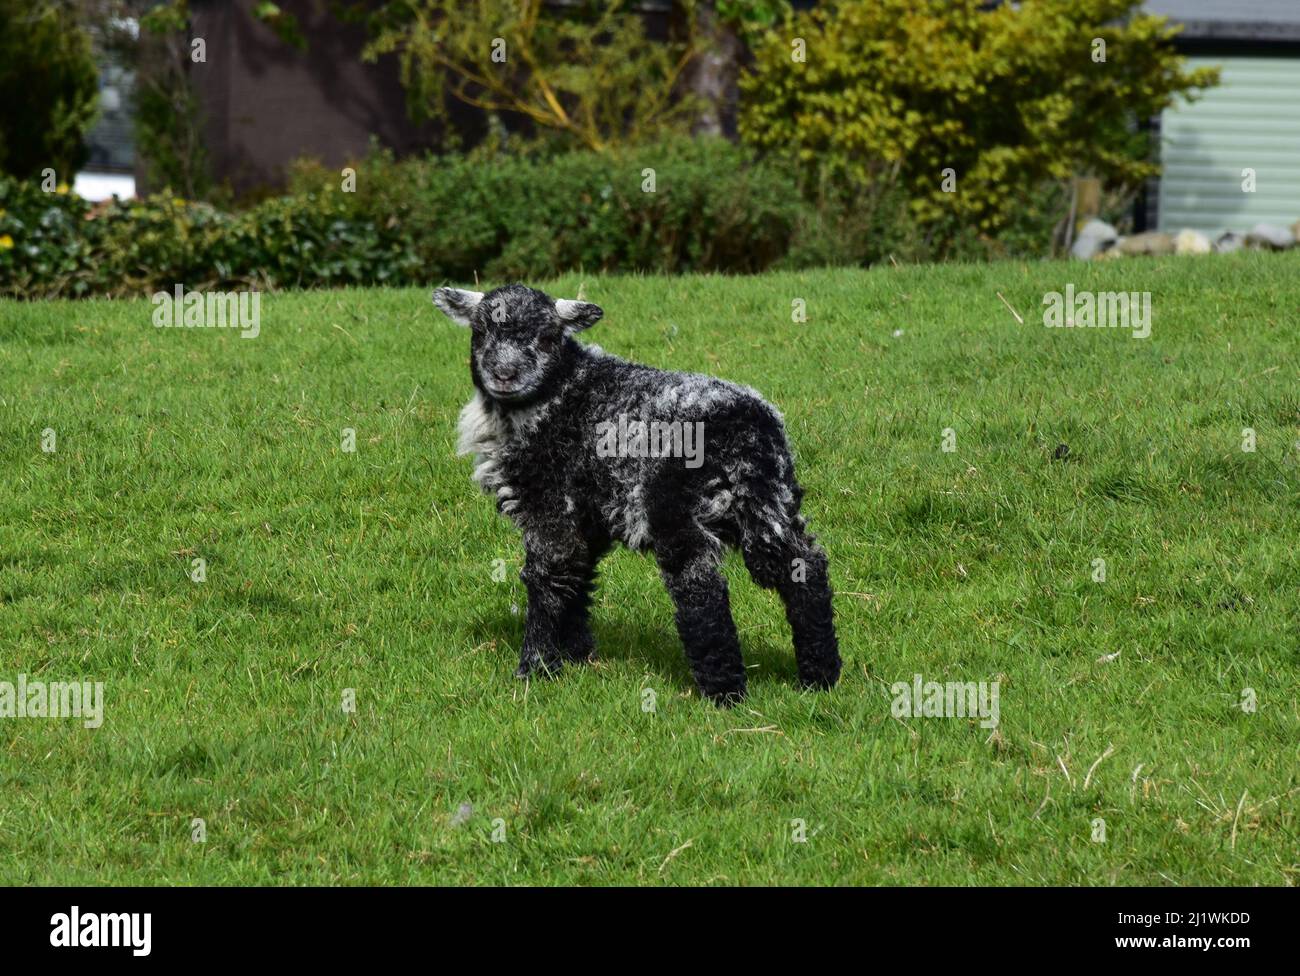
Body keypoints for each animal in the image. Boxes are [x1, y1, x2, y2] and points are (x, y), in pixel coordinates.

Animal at [434, 282, 841, 705]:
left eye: (547, 337)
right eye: (480, 332)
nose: (504, 374)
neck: (558, 392)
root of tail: (743, 430)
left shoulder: (551, 502)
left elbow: (547, 576)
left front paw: (536, 666)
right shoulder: (589, 513)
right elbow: (578, 574)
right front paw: (579, 655)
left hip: (677, 507)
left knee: (701, 587)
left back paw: (724, 692)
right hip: (771, 502)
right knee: (803, 567)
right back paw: (820, 675)